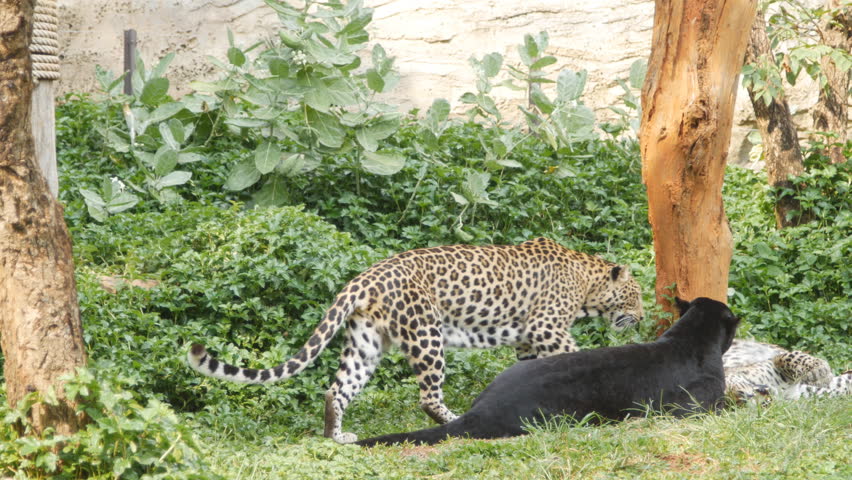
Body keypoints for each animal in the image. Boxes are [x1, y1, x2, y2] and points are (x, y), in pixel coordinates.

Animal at [187, 237, 643, 443]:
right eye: (635, 294)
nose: (641, 317)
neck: (587, 283)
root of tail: (364, 277)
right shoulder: (546, 327)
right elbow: (575, 354)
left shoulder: (527, 341)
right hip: (427, 334)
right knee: (427, 395)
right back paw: (453, 419)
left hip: (365, 343)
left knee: (336, 388)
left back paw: (337, 436)